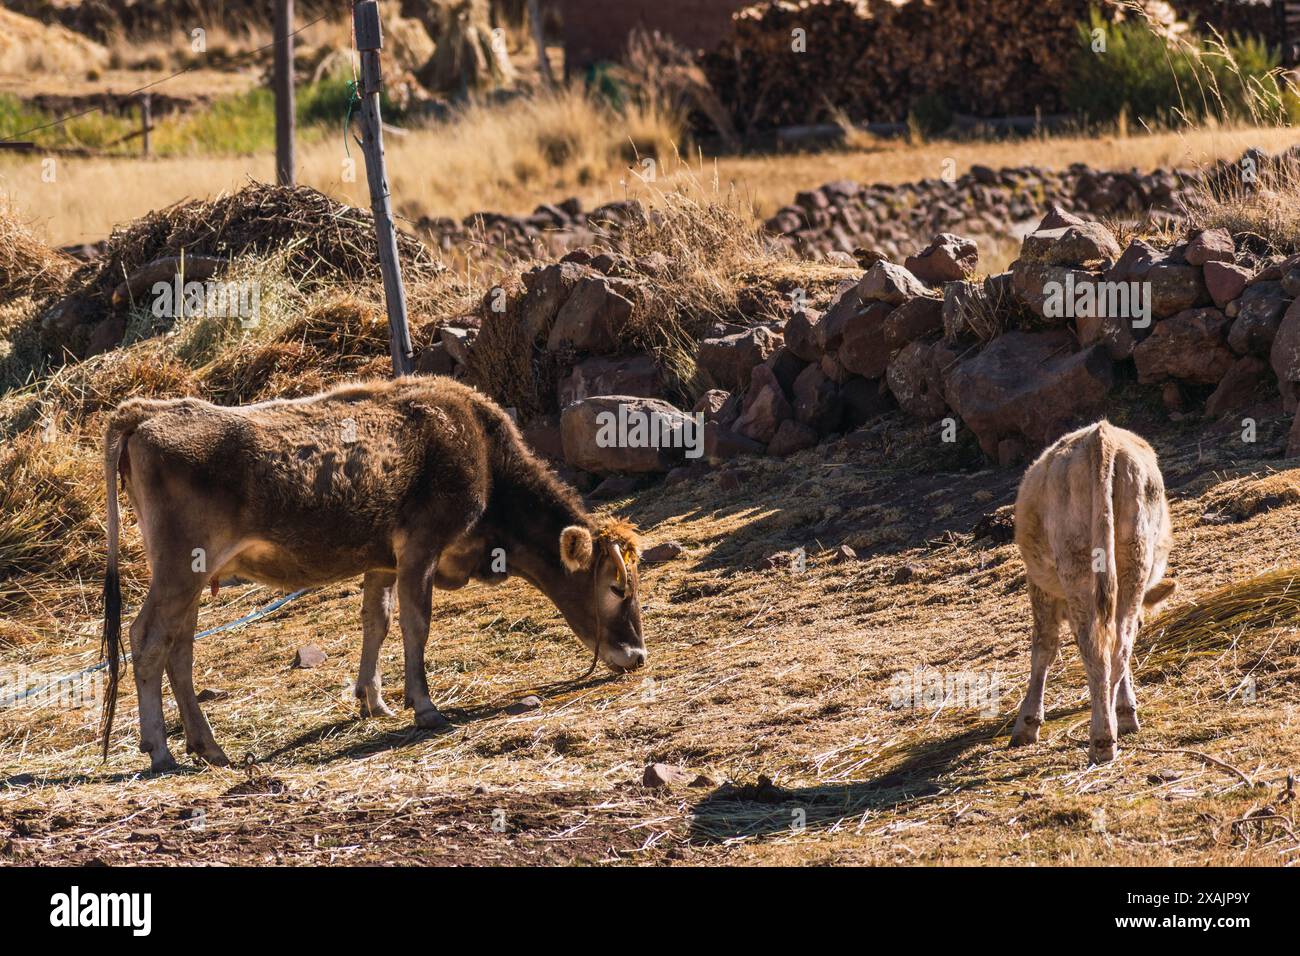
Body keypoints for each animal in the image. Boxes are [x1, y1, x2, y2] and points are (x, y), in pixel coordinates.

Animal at [100, 376, 646, 773]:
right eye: (615, 586)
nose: (637, 656)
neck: (485, 461)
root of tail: (146, 411)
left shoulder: (383, 562)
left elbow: (376, 622)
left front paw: (373, 701)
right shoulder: (421, 546)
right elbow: (415, 624)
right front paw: (424, 706)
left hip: (194, 575)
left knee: (180, 650)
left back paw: (208, 746)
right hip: (178, 568)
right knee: (147, 639)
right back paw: (161, 751)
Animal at [1009, 420, 1175, 764]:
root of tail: (1102, 438)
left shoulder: (1040, 585)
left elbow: (1043, 646)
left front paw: (1027, 722)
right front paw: (1126, 710)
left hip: (1076, 564)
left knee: (1093, 647)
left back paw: (1100, 740)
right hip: (1133, 558)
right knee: (1119, 644)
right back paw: (1113, 726)